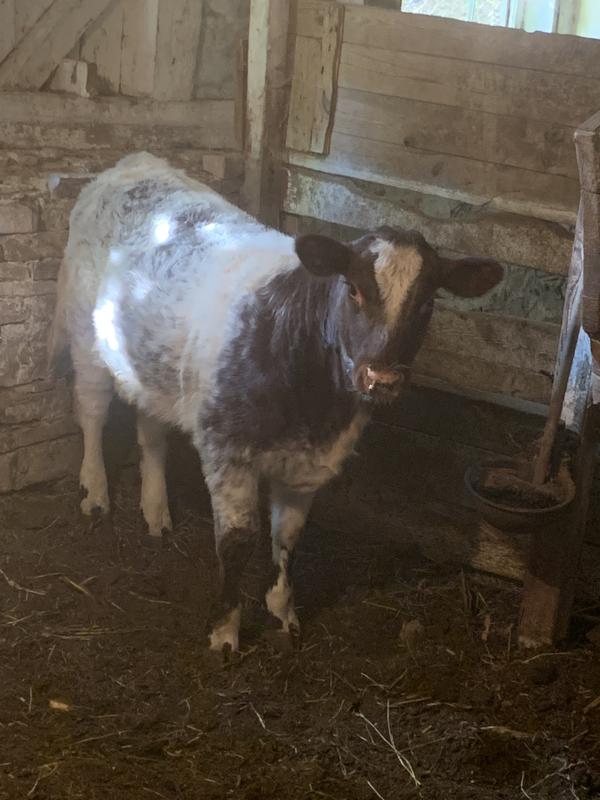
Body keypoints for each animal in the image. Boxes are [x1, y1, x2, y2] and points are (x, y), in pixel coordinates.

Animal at [49, 152, 502, 652]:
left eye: (427, 303)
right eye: (353, 288)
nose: (382, 377)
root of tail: (135, 162)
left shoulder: (310, 464)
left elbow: (287, 537)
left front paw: (284, 611)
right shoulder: (226, 449)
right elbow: (237, 541)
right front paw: (225, 630)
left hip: (150, 365)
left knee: (151, 434)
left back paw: (156, 512)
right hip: (85, 335)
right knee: (92, 411)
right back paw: (95, 493)